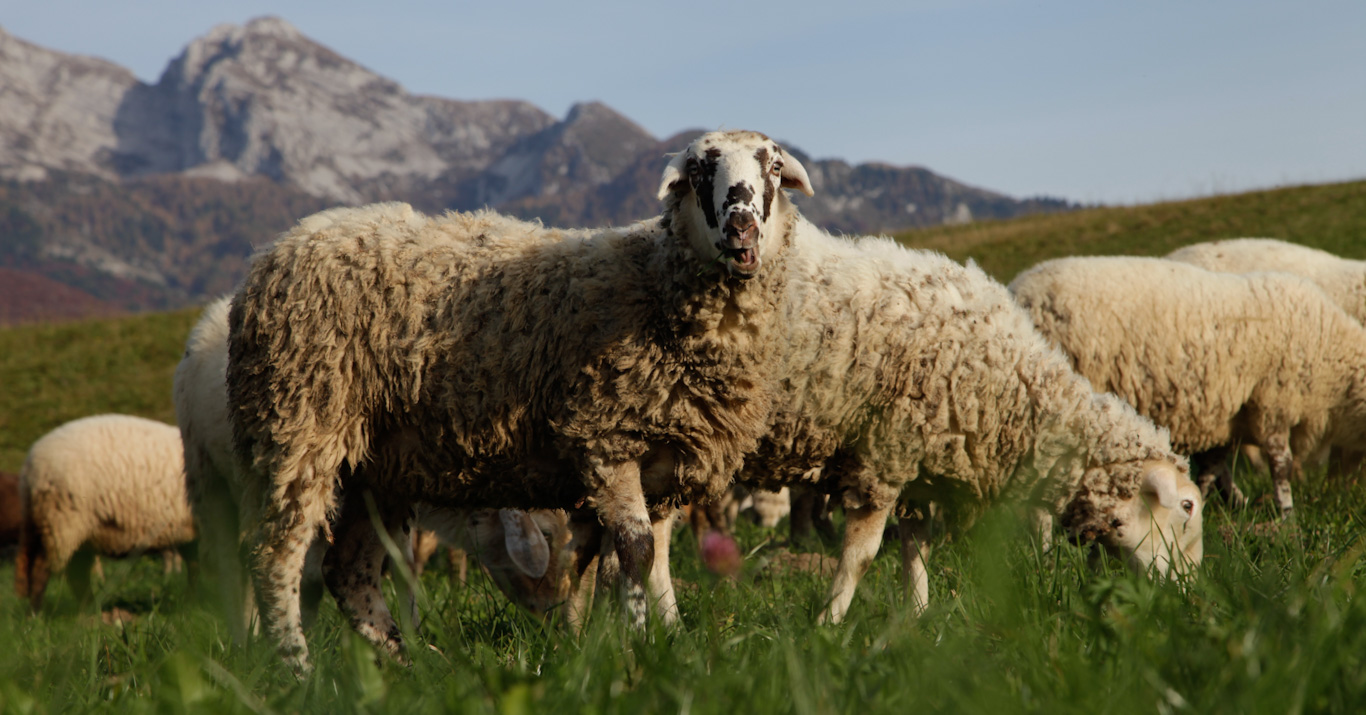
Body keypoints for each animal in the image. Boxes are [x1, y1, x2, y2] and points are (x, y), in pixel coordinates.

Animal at [14, 414, 196, 611]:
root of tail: (29, 469)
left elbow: (196, 567)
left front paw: (195, 601)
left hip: (72, 531)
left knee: (76, 572)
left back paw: (89, 609)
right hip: (61, 521)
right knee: (43, 569)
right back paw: (39, 613)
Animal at [174, 296, 586, 646]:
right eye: (545, 534)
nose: (557, 623)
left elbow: (402, 566)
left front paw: (412, 637)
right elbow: (311, 577)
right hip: (211, 478)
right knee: (231, 564)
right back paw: (244, 639)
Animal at [226, 129, 815, 671]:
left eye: (774, 165)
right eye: (697, 170)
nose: (740, 226)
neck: (653, 282)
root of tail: (273, 252)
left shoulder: (650, 465)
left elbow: (612, 565)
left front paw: (606, 647)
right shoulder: (606, 440)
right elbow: (637, 552)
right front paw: (636, 650)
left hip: (378, 464)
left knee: (346, 569)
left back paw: (408, 664)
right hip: (299, 422)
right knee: (275, 555)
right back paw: (296, 666)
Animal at [724, 237, 1204, 622]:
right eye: (1187, 507)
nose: (1190, 592)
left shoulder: (918, 468)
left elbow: (916, 550)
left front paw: (918, 618)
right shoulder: (884, 457)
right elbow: (861, 557)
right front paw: (829, 624)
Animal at [1009, 255, 1366, 515]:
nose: (1346, 492)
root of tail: (1017, 289)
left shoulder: (1227, 417)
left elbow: (1211, 471)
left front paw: (1207, 506)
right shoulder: (1273, 403)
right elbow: (1282, 466)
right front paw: (1287, 515)